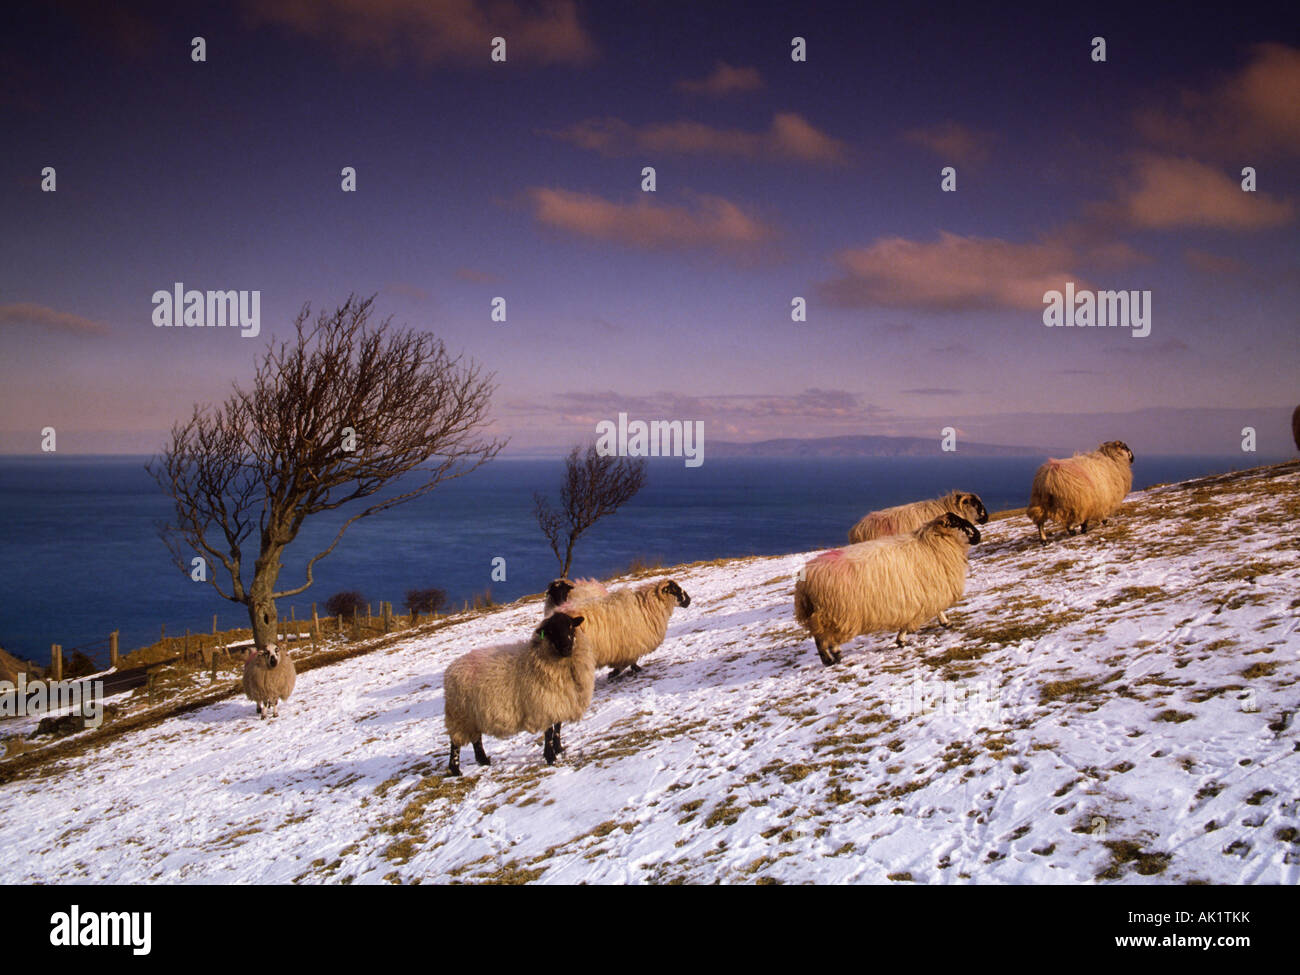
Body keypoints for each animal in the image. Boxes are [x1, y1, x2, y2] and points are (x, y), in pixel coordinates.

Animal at [442, 611, 591, 776]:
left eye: (571, 626)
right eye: (551, 631)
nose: (566, 647)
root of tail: (451, 668)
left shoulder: (558, 701)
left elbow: (558, 727)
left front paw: (559, 749)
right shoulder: (543, 704)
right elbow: (549, 732)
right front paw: (551, 757)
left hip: (473, 715)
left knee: (476, 739)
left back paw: (483, 760)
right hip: (459, 715)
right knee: (455, 743)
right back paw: (455, 769)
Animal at [555, 578, 691, 678]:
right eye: (675, 590)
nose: (689, 600)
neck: (647, 607)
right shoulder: (629, 645)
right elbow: (629, 661)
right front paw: (618, 672)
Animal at [794, 512, 981, 667]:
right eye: (957, 523)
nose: (978, 535)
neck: (932, 545)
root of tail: (804, 582)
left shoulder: (921, 594)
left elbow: (929, 612)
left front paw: (941, 623)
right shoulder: (928, 590)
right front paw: (904, 639)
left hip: (822, 612)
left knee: (818, 636)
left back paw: (829, 658)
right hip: (835, 613)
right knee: (823, 638)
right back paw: (833, 656)